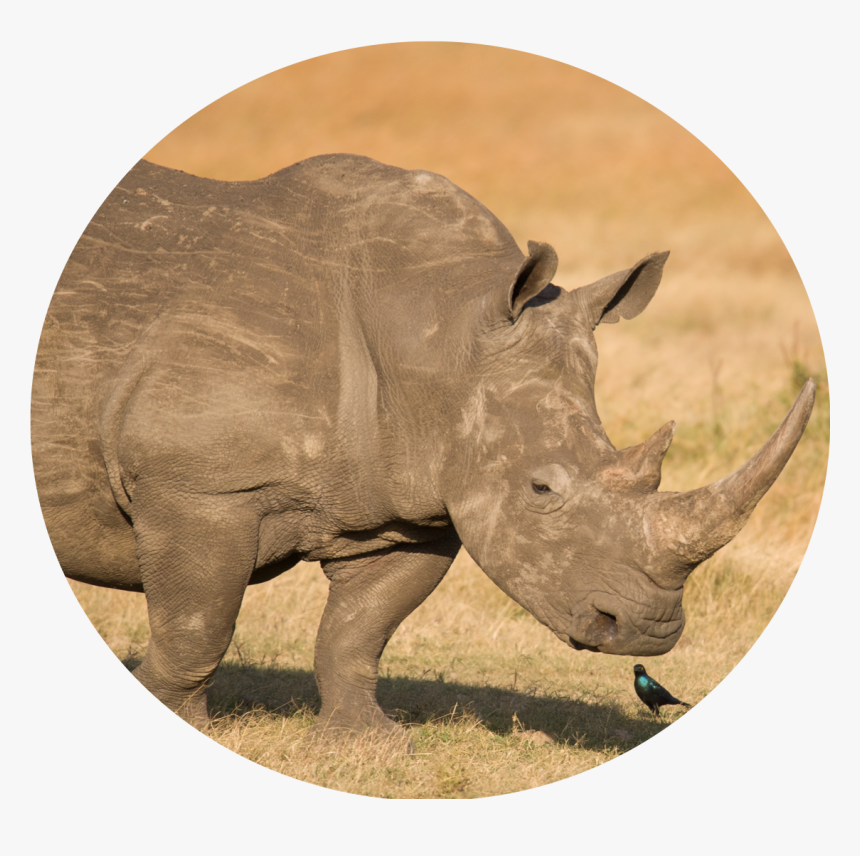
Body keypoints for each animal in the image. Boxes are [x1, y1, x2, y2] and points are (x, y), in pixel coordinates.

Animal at [32, 154, 814, 744]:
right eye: (541, 490)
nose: (647, 630)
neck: (439, 330)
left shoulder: (415, 502)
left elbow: (358, 633)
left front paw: (366, 743)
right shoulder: (199, 485)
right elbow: (198, 627)